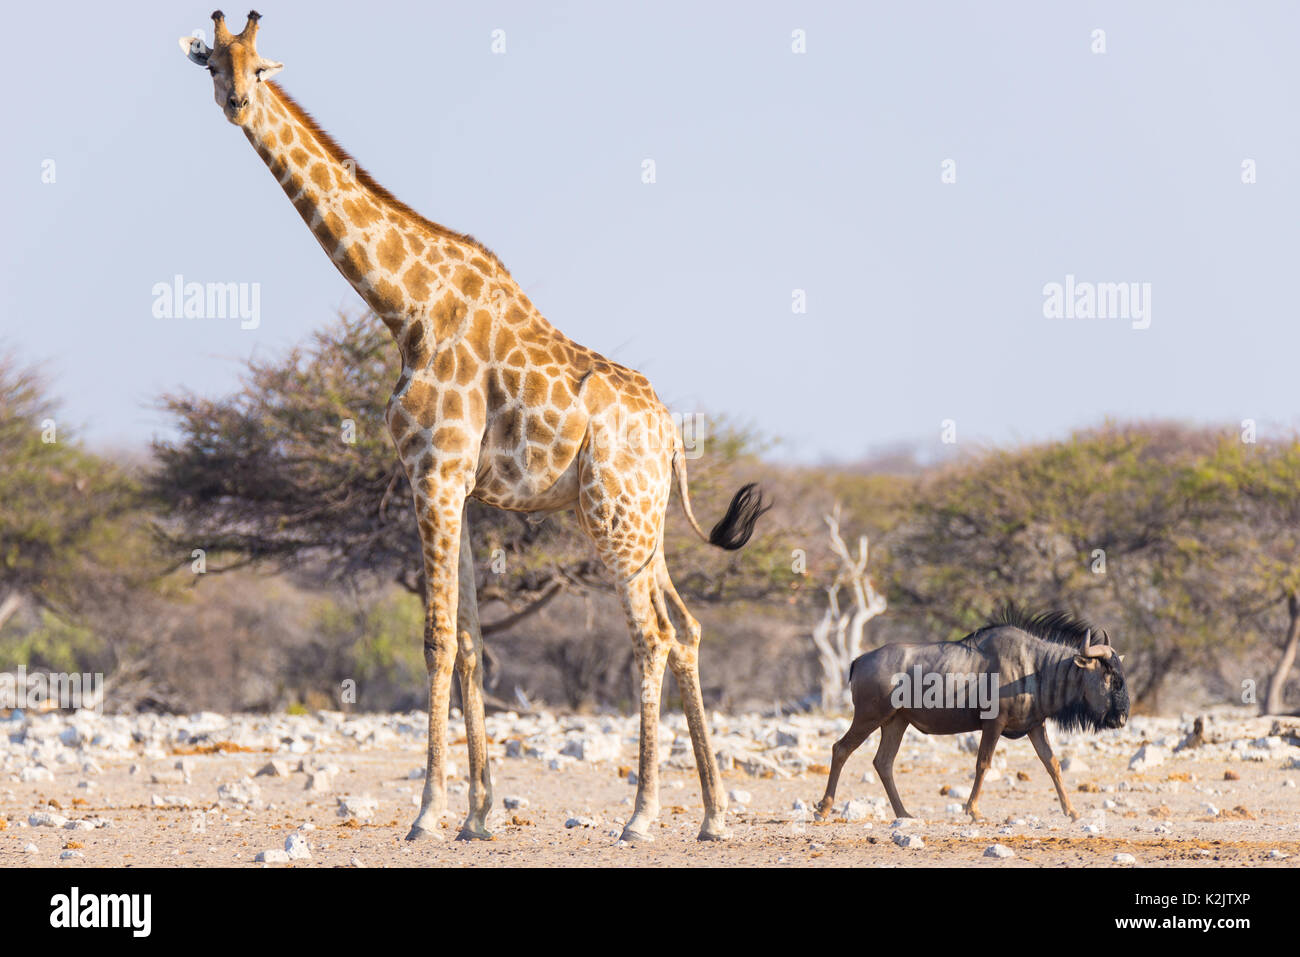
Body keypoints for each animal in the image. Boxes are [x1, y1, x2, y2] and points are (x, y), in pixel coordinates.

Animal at [179, 12, 770, 843]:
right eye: (213, 66)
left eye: (259, 67)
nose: (235, 104)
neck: (405, 308)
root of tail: (670, 435)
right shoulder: (451, 484)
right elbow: (469, 644)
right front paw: (478, 814)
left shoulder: (436, 472)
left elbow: (434, 636)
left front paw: (427, 810)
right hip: (643, 519)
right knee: (684, 626)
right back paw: (713, 813)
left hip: (612, 516)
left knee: (651, 634)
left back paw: (643, 813)